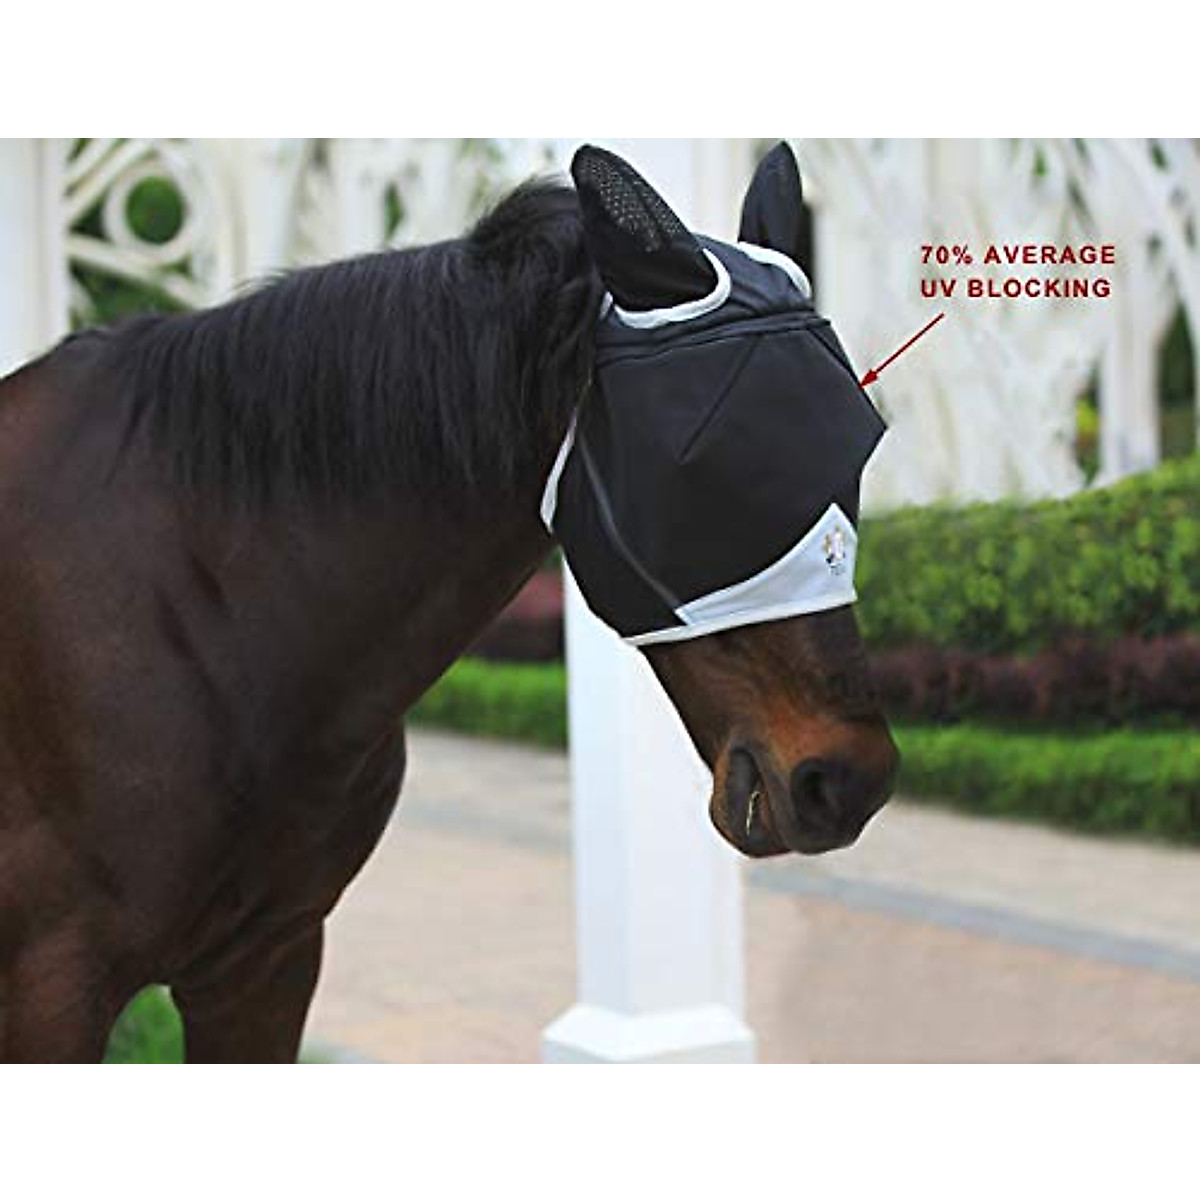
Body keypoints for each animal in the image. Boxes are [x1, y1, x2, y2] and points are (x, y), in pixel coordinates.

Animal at [0, 143, 898, 1062]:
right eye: (704, 464)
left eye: (856, 445)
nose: (844, 778)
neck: (204, 614)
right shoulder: (52, 986)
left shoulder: (264, 960)